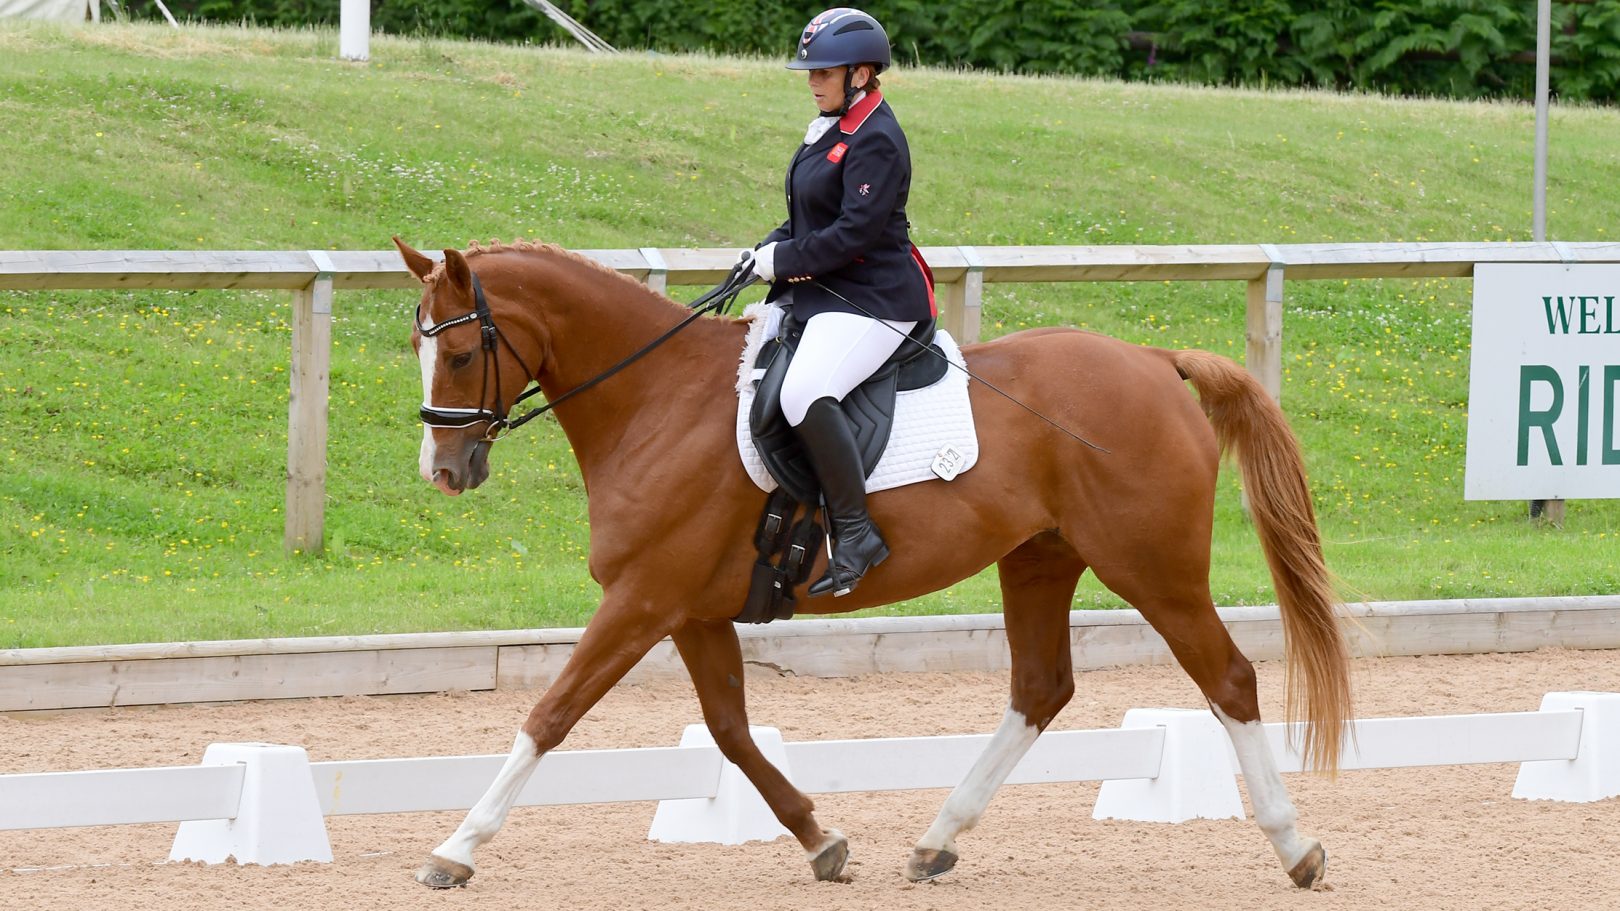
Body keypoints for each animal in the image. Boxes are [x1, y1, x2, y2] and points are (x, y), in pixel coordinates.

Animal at [395, 237, 1352, 891]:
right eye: (421, 347)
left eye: (462, 351)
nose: (443, 471)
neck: (655, 398)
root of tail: (1156, 360)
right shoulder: (693, 609)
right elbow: (731, 731)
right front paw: (821, 841)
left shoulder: (643, 598)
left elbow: (550, 715)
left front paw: (455, 848)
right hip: (1040, 560)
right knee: (1039, 689)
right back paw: (936, 839)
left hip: (1153, 568)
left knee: (1228, 678)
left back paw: (1297, 845)